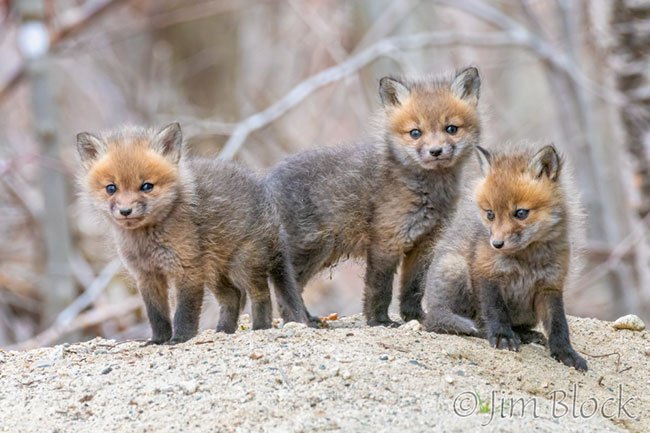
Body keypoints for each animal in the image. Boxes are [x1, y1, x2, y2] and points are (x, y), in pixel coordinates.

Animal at [76, 123, 310, 344]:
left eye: (146, 186)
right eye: (111, 188)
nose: (125, 211)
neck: (147, 241)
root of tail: (271, 209)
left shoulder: (188, 269)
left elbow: (184, 311)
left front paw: (180, 338)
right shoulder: (147, 275)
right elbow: (156, 314)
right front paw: (159, 340)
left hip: (241, 266)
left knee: (260, 294)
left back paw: (259, 328)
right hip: (216, 272)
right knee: (233, 296)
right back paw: (223, 331)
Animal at [267, 67, 482, 326]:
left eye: (451, 128)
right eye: (415, 133)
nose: (436, 151)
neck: (425, 191)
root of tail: (265, 182)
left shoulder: (424, 243)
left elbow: (413, 288)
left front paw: (416, 318)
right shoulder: (387, 240)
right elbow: (380, 289)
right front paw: (379, 321)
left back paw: (308, 318)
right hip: (313, 249)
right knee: (286, 288)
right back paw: (298, 321)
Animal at [423, 143, 588, 371]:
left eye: (520, 213)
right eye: (490, 214)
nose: (497, 244)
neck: (527, 260)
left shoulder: (550, 284)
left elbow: (559, 324)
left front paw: (566, 353)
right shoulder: (487, 272)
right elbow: (495, 310)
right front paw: (502, 337)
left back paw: (526, 334)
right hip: (456, 269)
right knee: (440, 323)